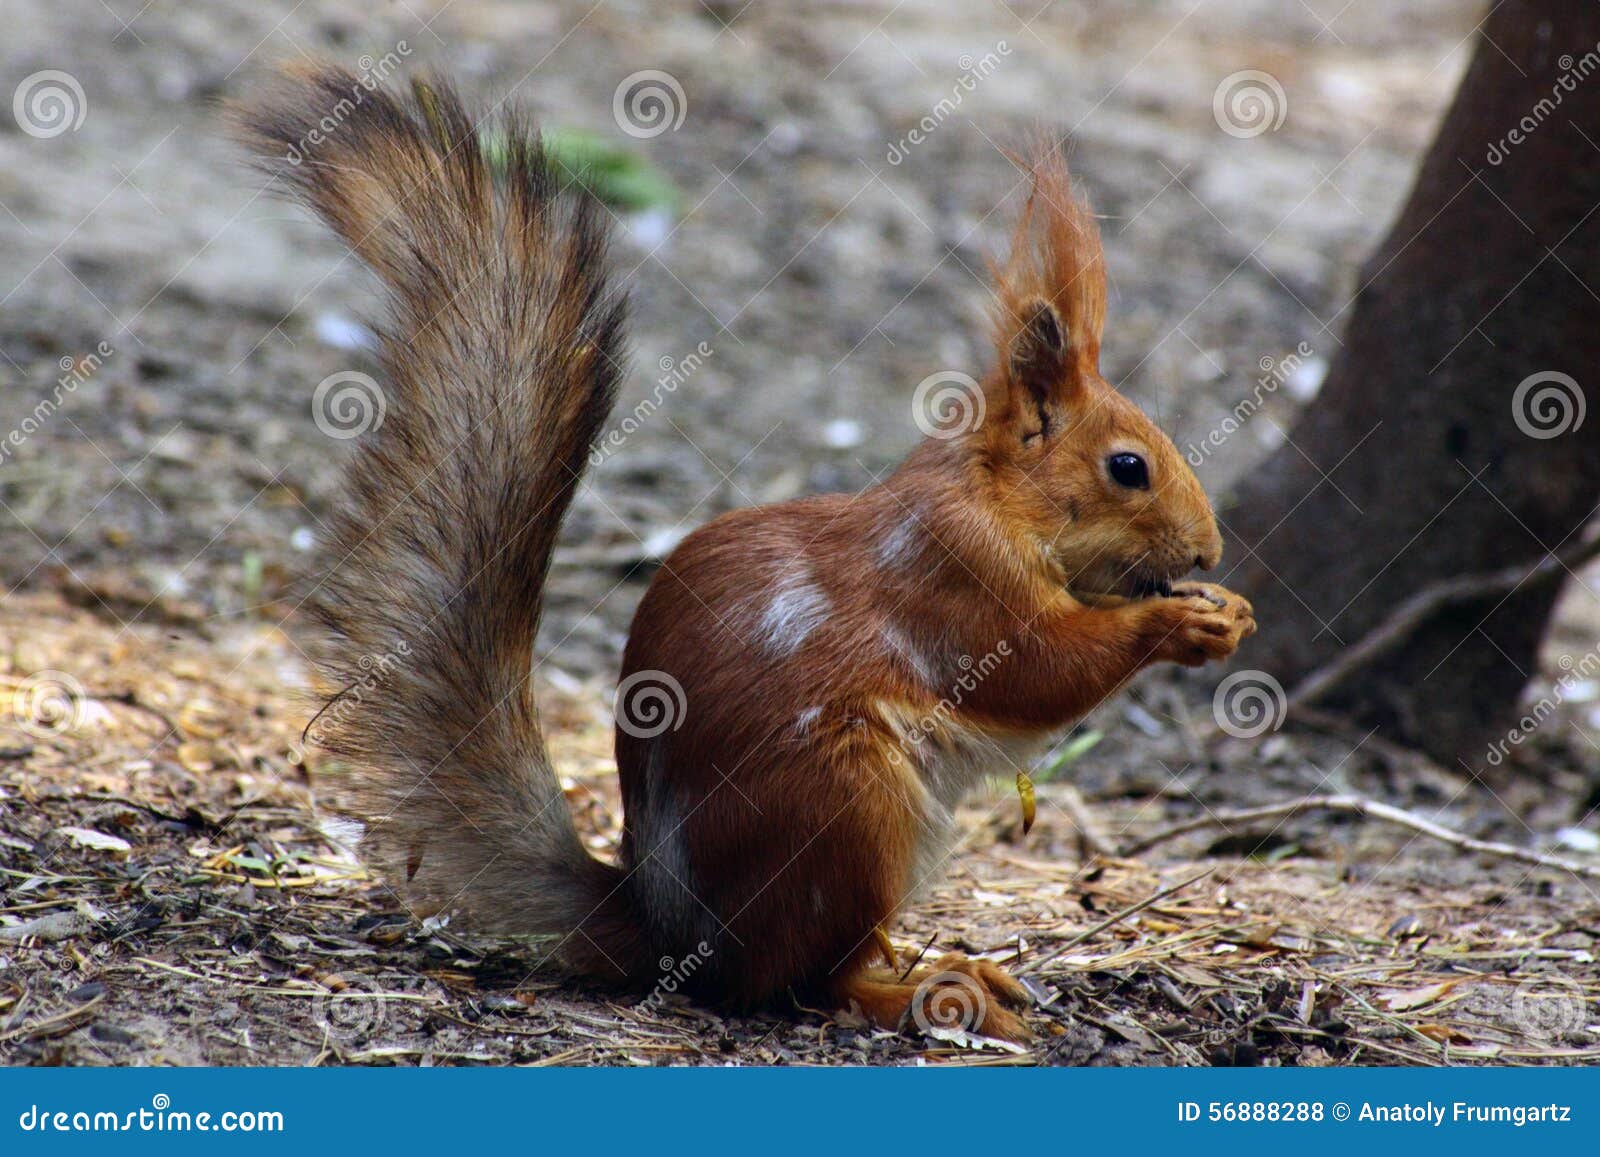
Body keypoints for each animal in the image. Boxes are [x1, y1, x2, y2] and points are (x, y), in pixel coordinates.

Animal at [235, 67, 1254, 1043]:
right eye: (1128, 467)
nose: (1209, 549)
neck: (999, 498)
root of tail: (674, 930)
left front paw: (1226, 609)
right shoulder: (955, 577)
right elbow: (1041, 669)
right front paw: (1180, 621)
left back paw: (944, 964)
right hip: (847, 807)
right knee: (803, 980)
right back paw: (923, 990)